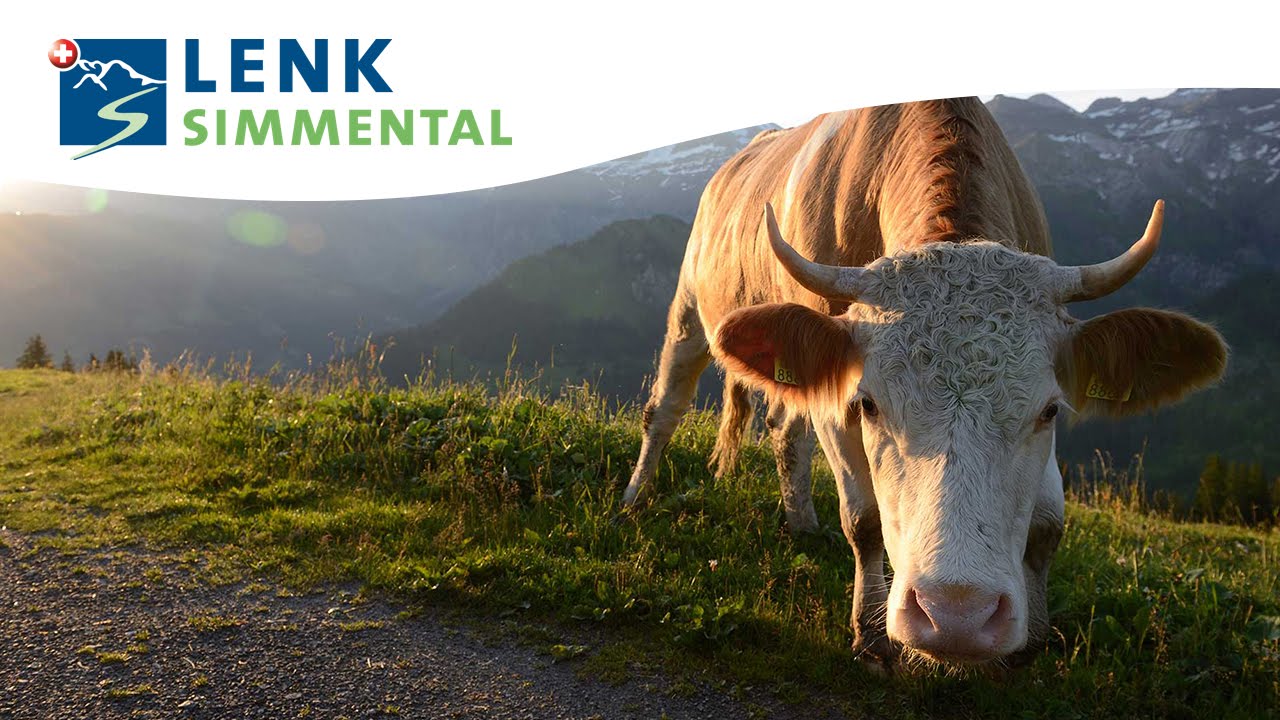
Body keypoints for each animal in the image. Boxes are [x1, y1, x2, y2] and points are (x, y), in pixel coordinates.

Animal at [620, 98, 1227, 668]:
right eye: (869, 405)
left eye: (1050, 410)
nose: (957, 616)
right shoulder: (838, 398)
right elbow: (863, 519)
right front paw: (870, 637)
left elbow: (1048, 525)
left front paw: (1031, 639)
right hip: (691, 310)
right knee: (666, 407)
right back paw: (635, 496)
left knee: (783, 428)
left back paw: (802, 523)